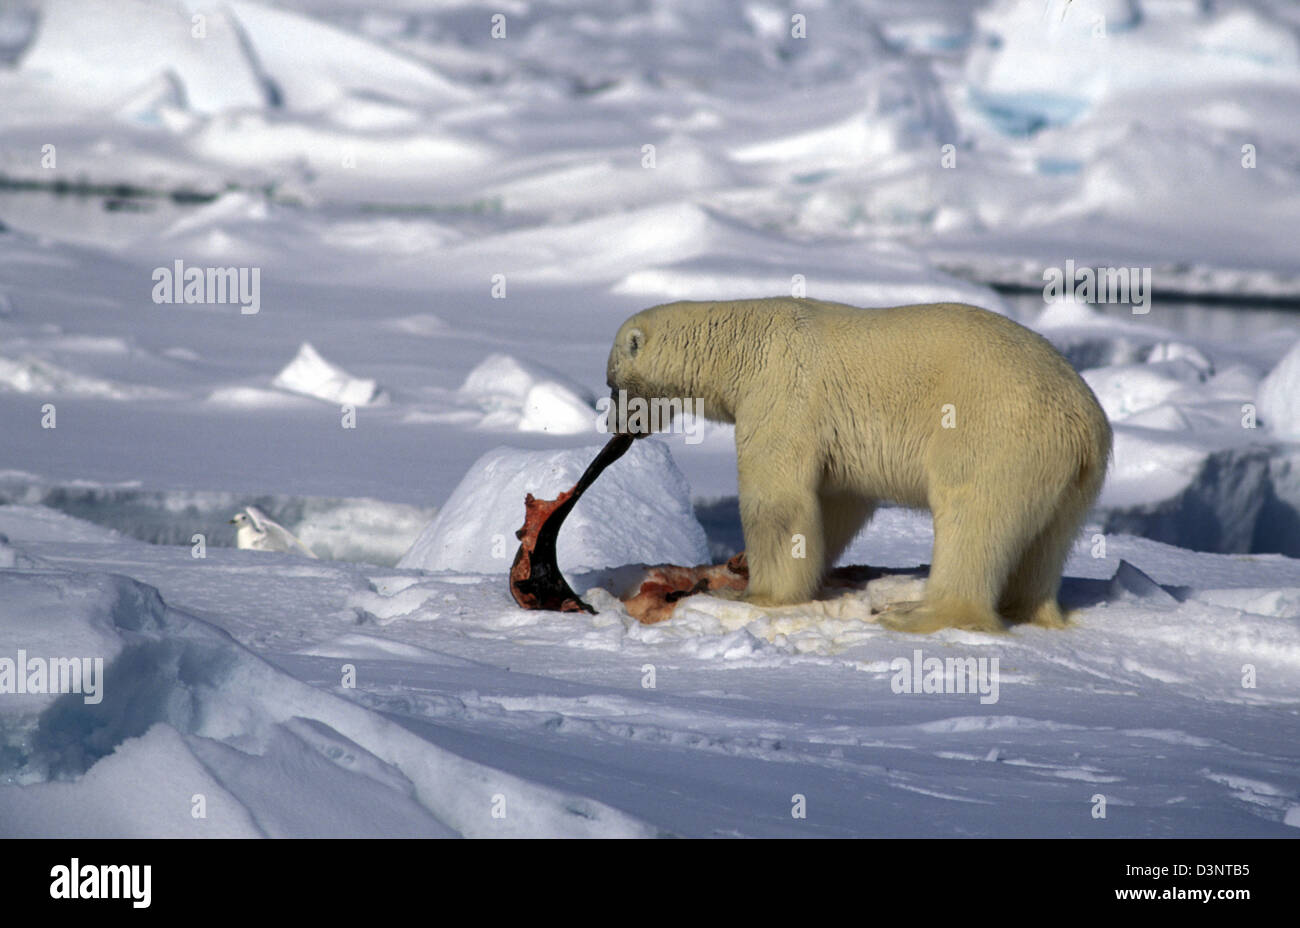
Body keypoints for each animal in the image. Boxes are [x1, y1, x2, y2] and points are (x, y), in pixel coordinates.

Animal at [605, 298, 1112, 633]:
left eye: (612, 385)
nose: (615, 427)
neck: (742, 344)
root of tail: (1083, 422)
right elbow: (835, 501)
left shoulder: (782, 392)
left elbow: (779, 500)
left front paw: (754, 593)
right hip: (1073, 479)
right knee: (1046, 545)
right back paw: (1029, 608)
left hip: (997, 436)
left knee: (974, 519)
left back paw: (919, 613)